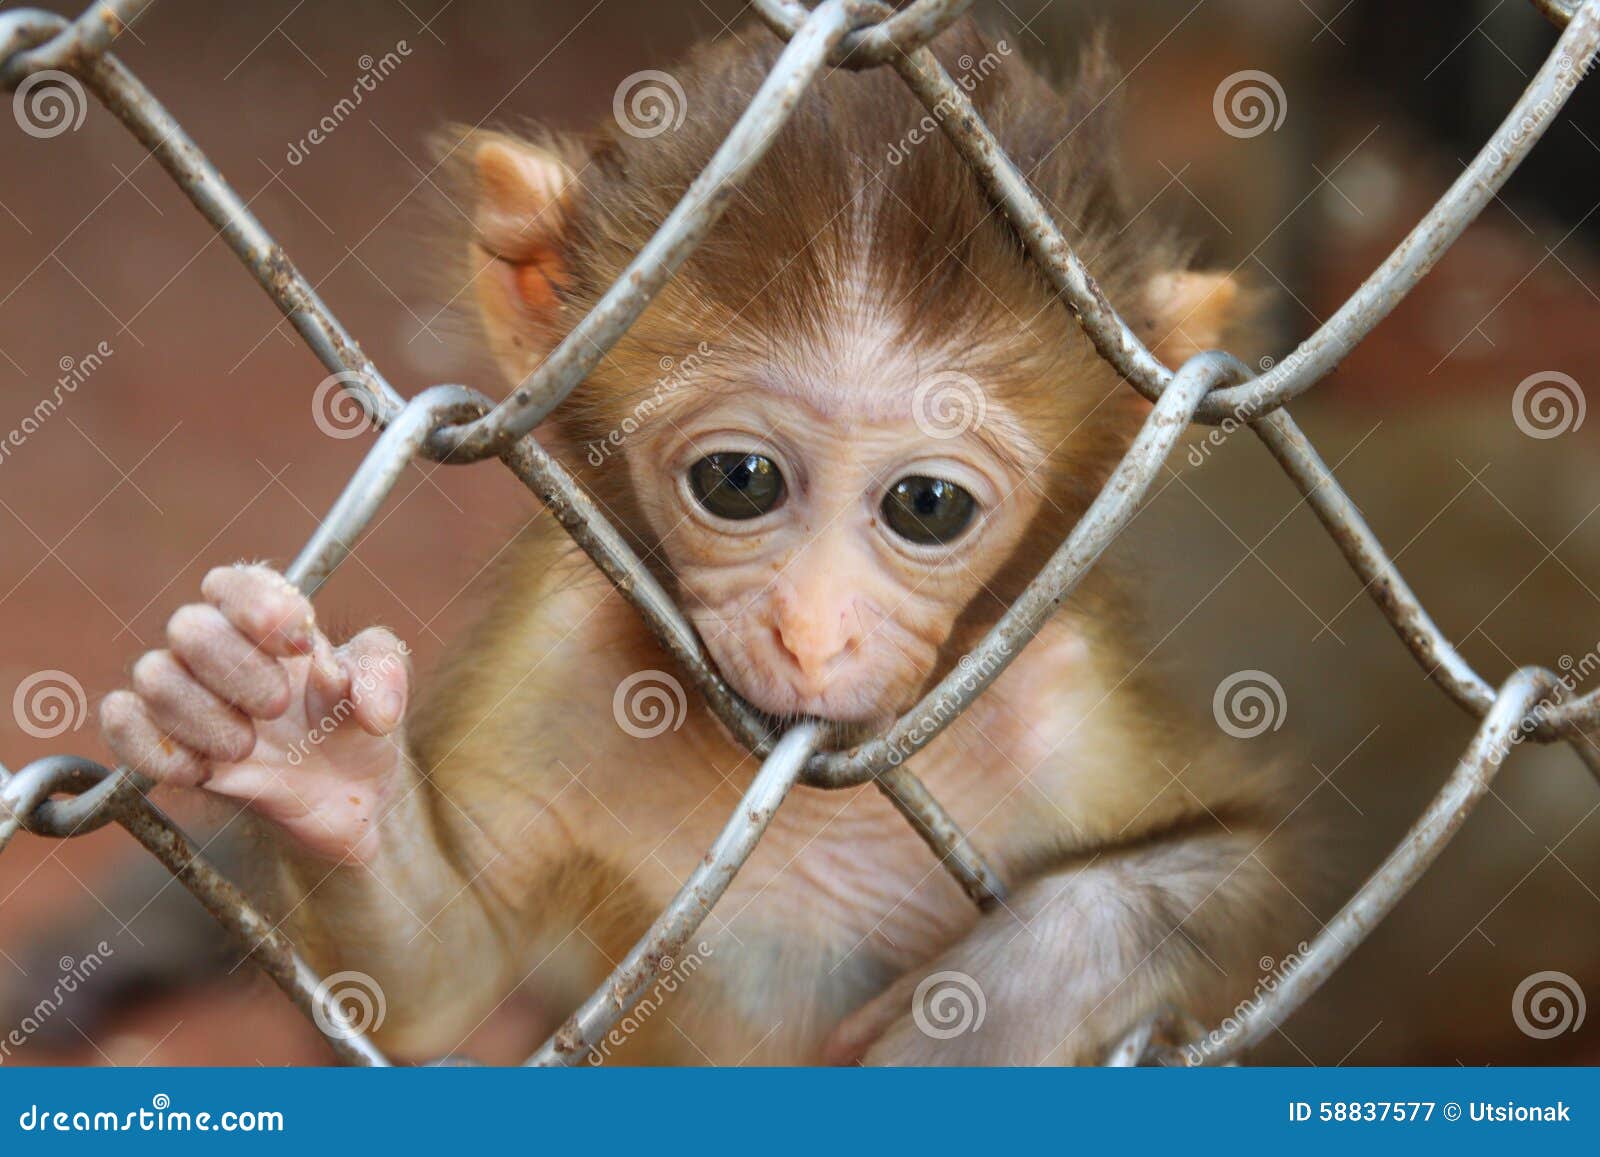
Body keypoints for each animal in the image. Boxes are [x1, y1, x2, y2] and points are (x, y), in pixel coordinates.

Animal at [94, 19, 1315, 1065]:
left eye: (927, 506)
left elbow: (1257, 891)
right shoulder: (558, 652)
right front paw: (298, 740)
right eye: (738, 482)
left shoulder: (1064, 690)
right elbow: (426, 987)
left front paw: (1003, 1004)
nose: (814, 635)